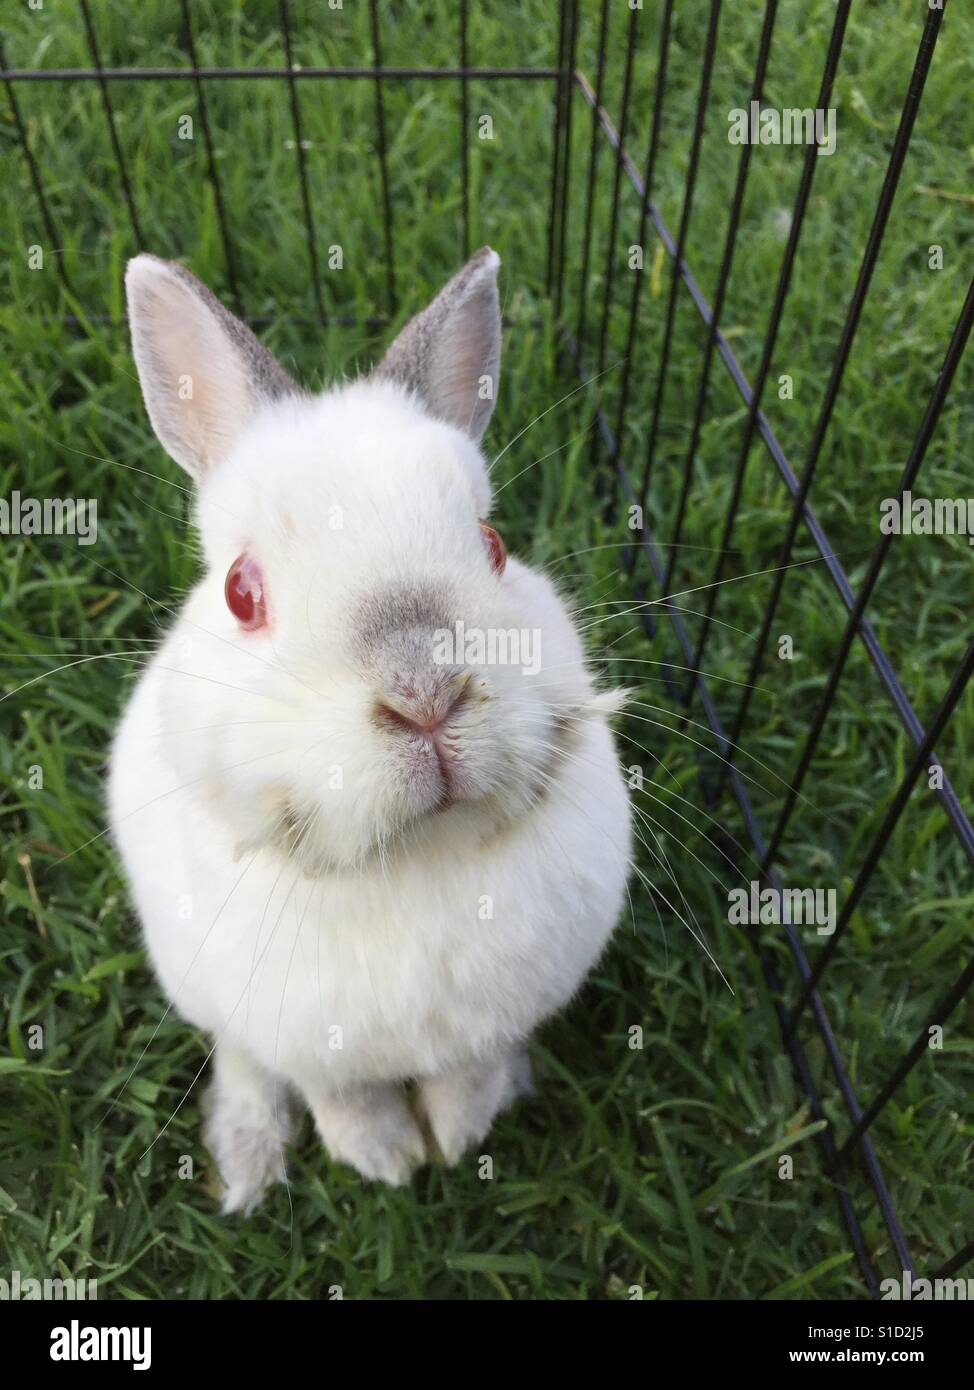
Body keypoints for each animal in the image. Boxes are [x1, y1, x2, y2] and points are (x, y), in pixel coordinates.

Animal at [109, 246, 632, 1213]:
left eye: (493, 544)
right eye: (241, 592)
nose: (426, 695)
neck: (413, 859)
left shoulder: (488, 1021)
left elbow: (470, 1067)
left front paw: (459, 1134)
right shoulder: (305, 1039)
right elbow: (336, 1094)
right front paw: (383, 1158)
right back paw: (246, 1161)